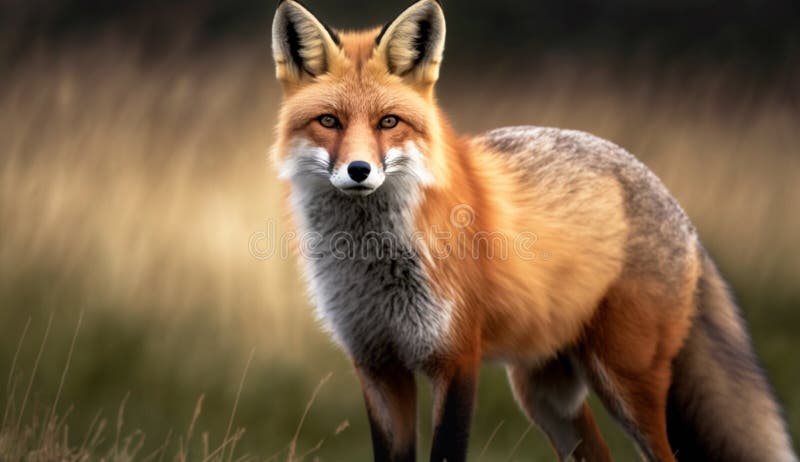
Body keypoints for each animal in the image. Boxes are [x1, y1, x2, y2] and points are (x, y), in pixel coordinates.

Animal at [269, 1, 797, 461]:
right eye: (329, 121)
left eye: (388, 122)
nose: (359, 171)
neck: (372, 262)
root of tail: (669, 197)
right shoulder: (377, 365)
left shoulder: (456, 359)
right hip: (545, 394)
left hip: (626, 381)